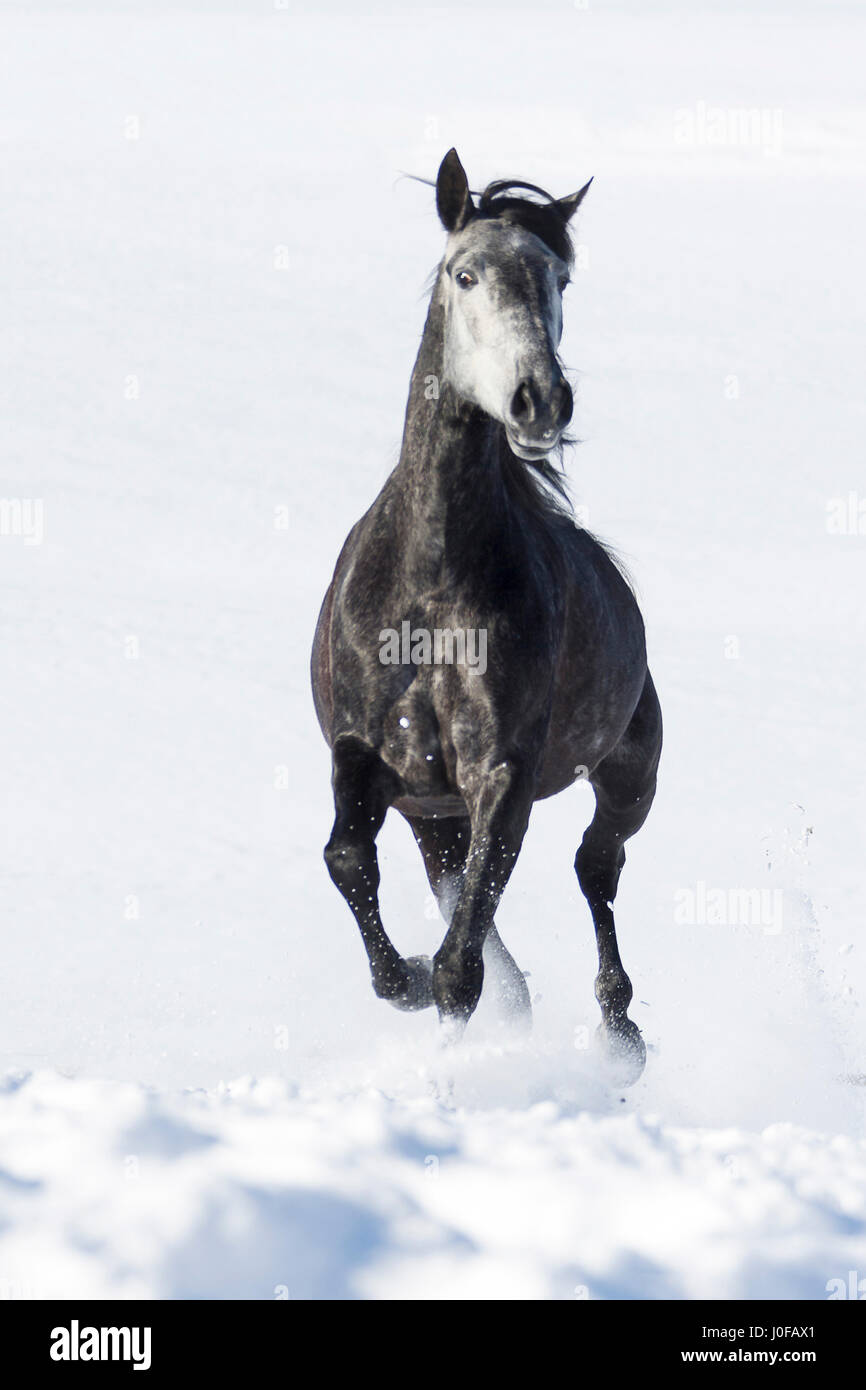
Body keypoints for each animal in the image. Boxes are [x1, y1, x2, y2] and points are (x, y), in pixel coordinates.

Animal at [311, 148, 662, 1083]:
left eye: (558, 280)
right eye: (463, 274)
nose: (542, 401)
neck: (433, 586)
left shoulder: (502, 774)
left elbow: (462, 966)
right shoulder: (366, 753)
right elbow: (348, 860)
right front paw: (400, 978)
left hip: (629, 773)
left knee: (596, 868)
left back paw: (621, 1035)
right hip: (432, 816)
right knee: (459, 887)